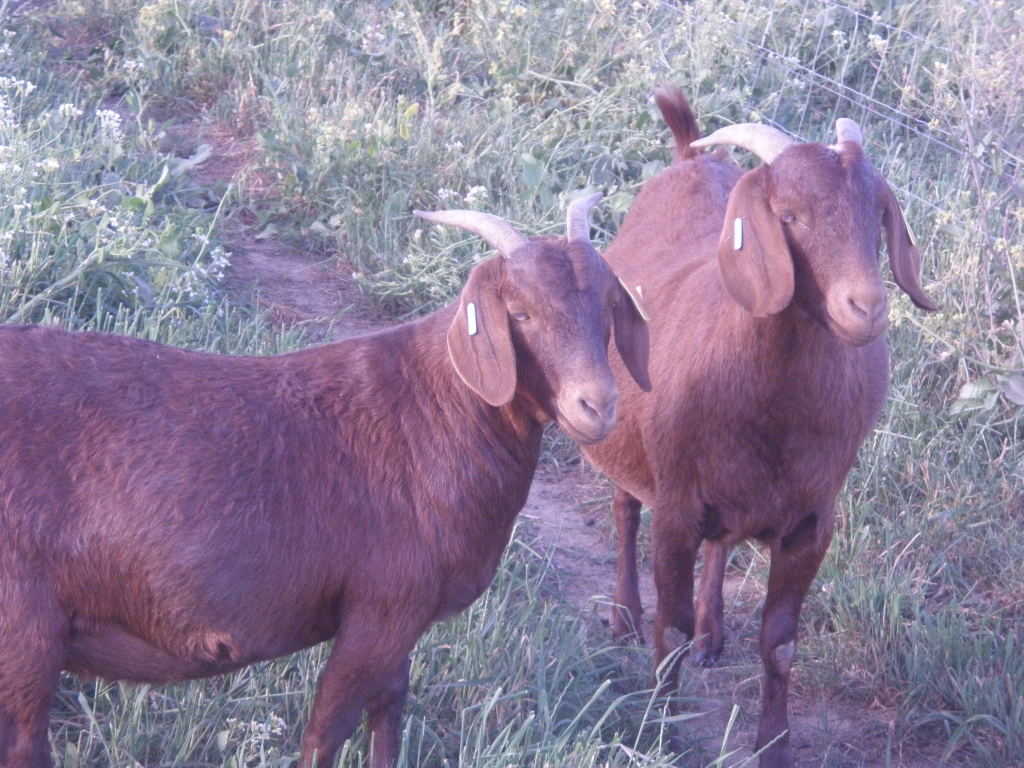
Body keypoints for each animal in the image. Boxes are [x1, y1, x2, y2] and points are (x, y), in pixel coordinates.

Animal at [0, 195, 651, 768]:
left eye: (607, 308)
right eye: (519, 313)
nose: (598, 405)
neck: (437, 411)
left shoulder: (403, 622)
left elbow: (388, 717)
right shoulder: (377, 610)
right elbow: (326, 731)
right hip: (25, 631)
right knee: (26, 745)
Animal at [582, 87, 936, 768]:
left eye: (878, 215)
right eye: (789, 216)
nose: (866, 306)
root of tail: (688, 158)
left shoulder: (812, 520)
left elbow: (780, 643)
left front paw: (773, 745)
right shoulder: (677, 505)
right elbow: (669, 623)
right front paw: (658, 729)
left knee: (720, 545)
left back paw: (713, 632)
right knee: (623, 510)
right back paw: (624, 614)